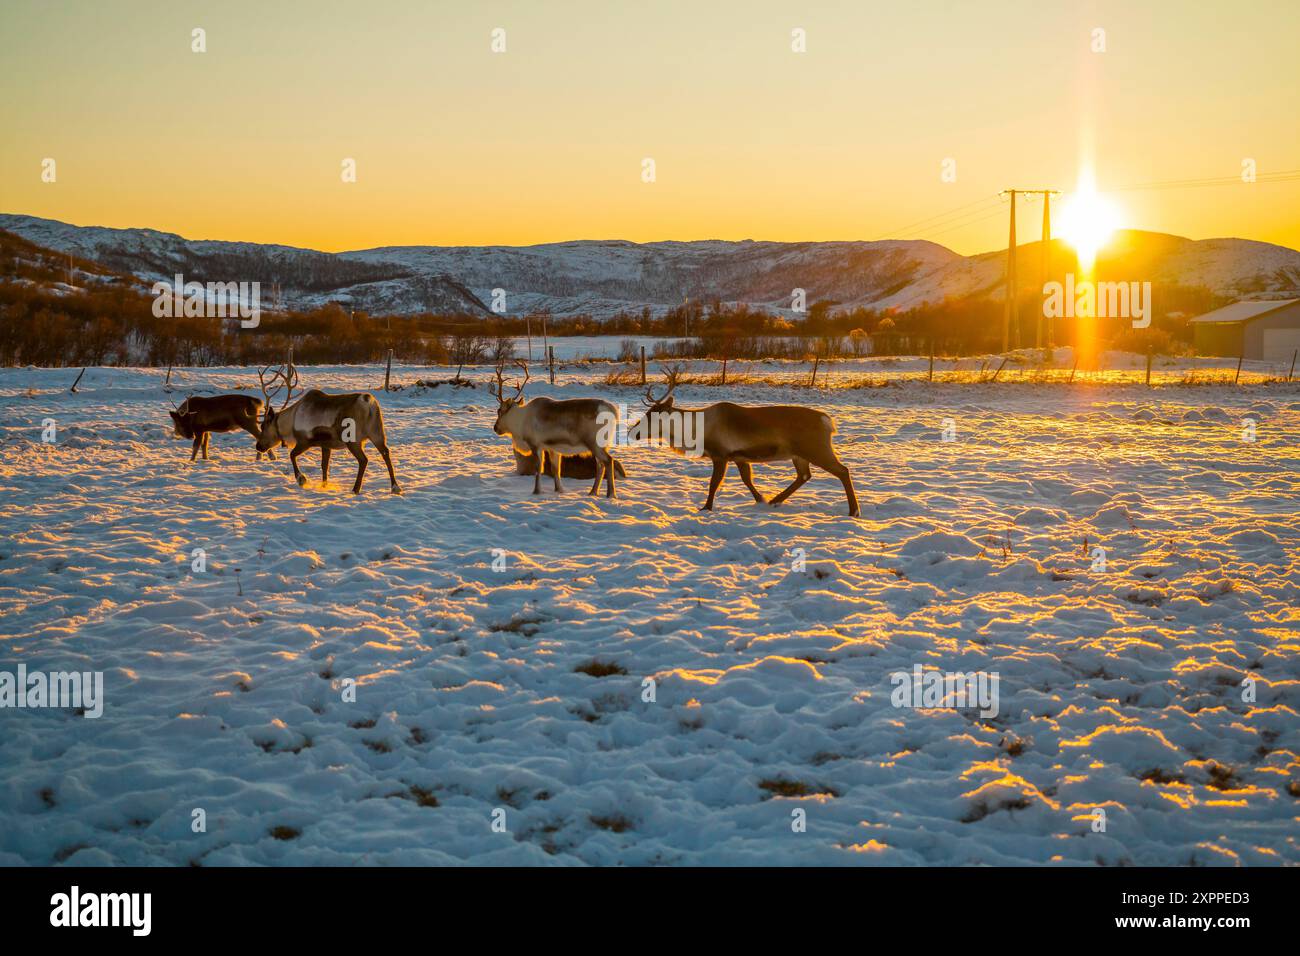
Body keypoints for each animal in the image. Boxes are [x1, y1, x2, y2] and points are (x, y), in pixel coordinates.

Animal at [490, 360, 618, 497]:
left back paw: (610, 494)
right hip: (601, 445)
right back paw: (593, 492)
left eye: (499, 411)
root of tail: (613, 411)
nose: (495, 428)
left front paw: (536, 491)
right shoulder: (552, 448)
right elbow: (555, 469)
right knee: (600, 465)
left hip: (594, 443)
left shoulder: (535, 444)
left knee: (608, 461)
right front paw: (559, 490)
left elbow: (538, 468)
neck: (521, 420)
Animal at [639, 366, 859, 517]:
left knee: (842, 471)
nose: (635, 433)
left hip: (816, 449)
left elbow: (714, 483)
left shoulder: (720, 455)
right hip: (799, 455)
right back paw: (775, 500)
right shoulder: (739, 457)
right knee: (804, 476)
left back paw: (854, 511)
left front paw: (706, 507)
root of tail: (828, 421)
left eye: (653, 415)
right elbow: (747, 480)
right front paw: (760, 499)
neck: (695, 431)